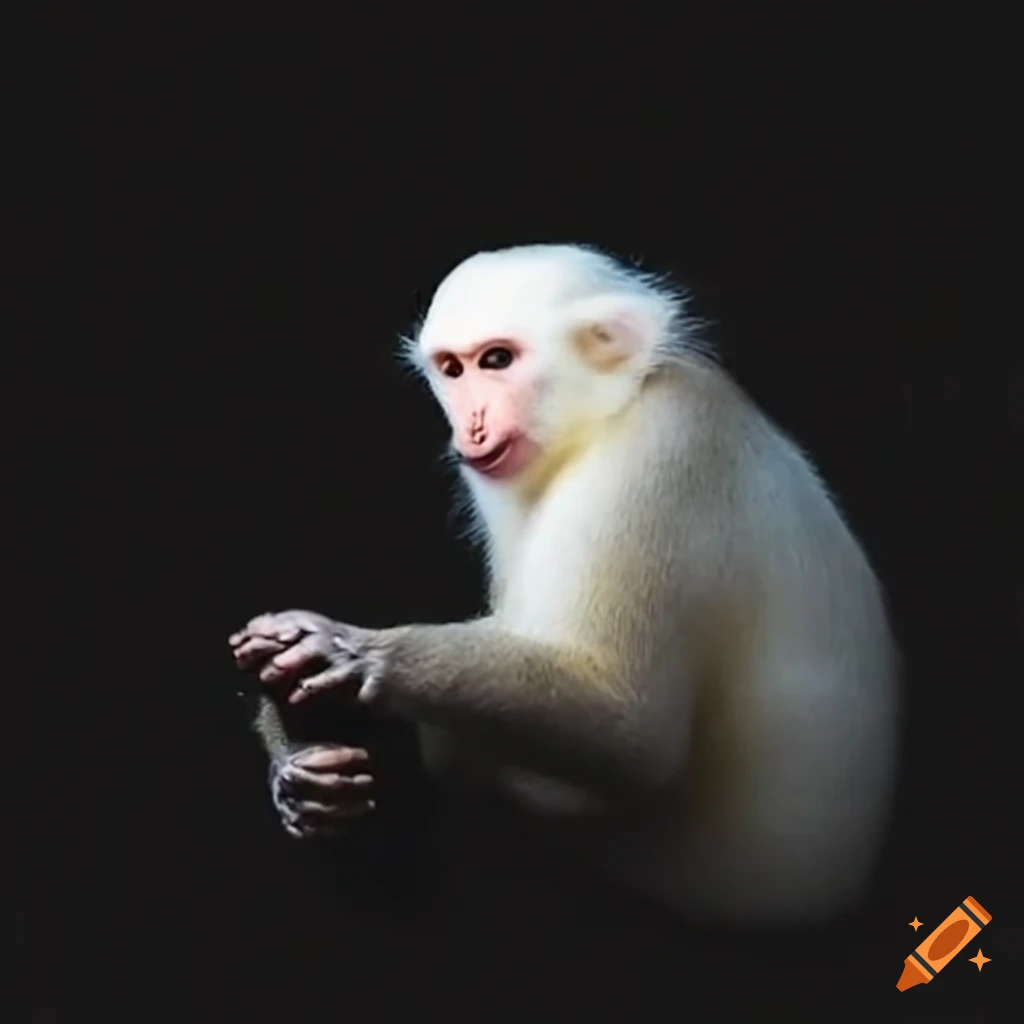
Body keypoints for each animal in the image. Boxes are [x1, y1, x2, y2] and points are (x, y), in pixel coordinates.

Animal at [229, 243, 900, 928]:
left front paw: (367, 658)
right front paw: (294, 757)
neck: (609, 412)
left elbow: (630, 729)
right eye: (453, 369)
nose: (471, 423)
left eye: (497, 361)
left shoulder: (663, 447)